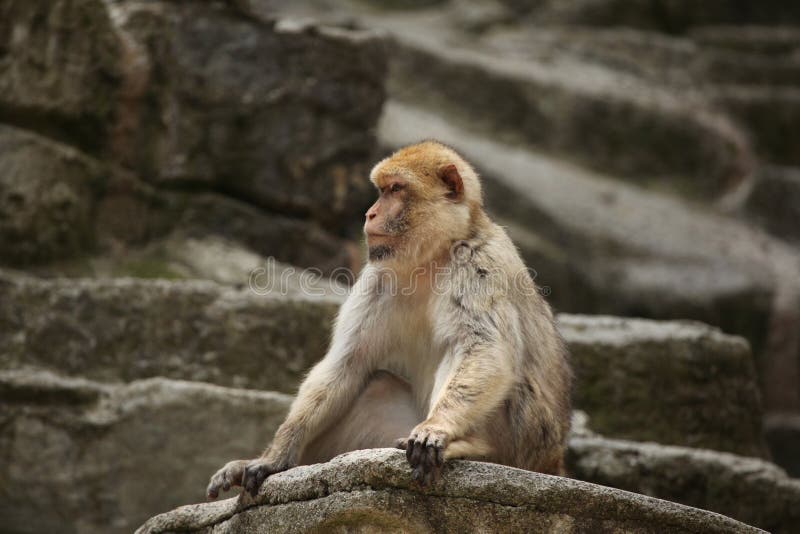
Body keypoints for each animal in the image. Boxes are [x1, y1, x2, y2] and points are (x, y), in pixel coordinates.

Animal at [206, 140, 572, 499]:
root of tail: (552, 463)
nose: (370, 213)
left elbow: (482, 349)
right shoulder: (378, 278)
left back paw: (470, 445)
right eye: (381, 190)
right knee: (376, 386)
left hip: (524, 440)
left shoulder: (479, 265)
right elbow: (347, 362)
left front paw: (437, 429)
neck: (432, 256)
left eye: (395, 189)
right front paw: (274, 457)